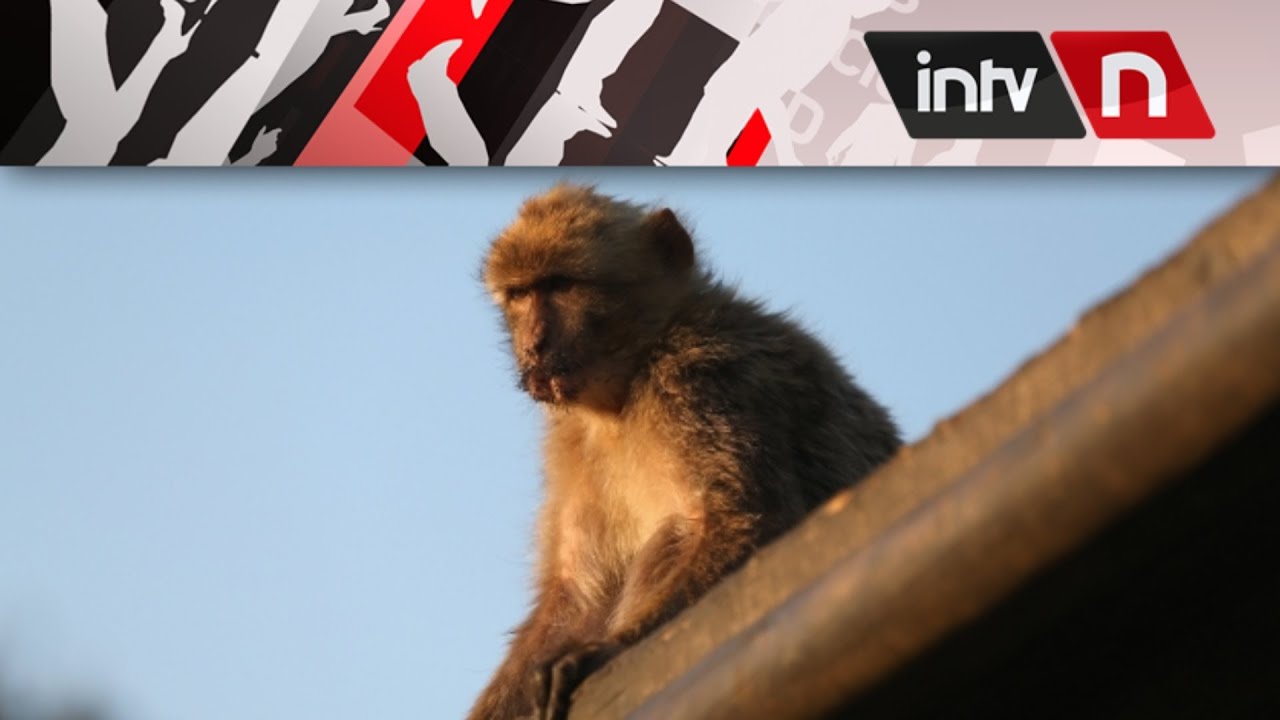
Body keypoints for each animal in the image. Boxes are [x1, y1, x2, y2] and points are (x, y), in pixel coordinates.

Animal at [467, 183, 902, 720]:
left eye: (562, 285)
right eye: (521, 295)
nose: (535, 343)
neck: (629, 378)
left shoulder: (701, 378)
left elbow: (749, 521)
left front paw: (602, 652)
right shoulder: (572, 439)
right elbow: (578, 595)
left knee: (675, 533)